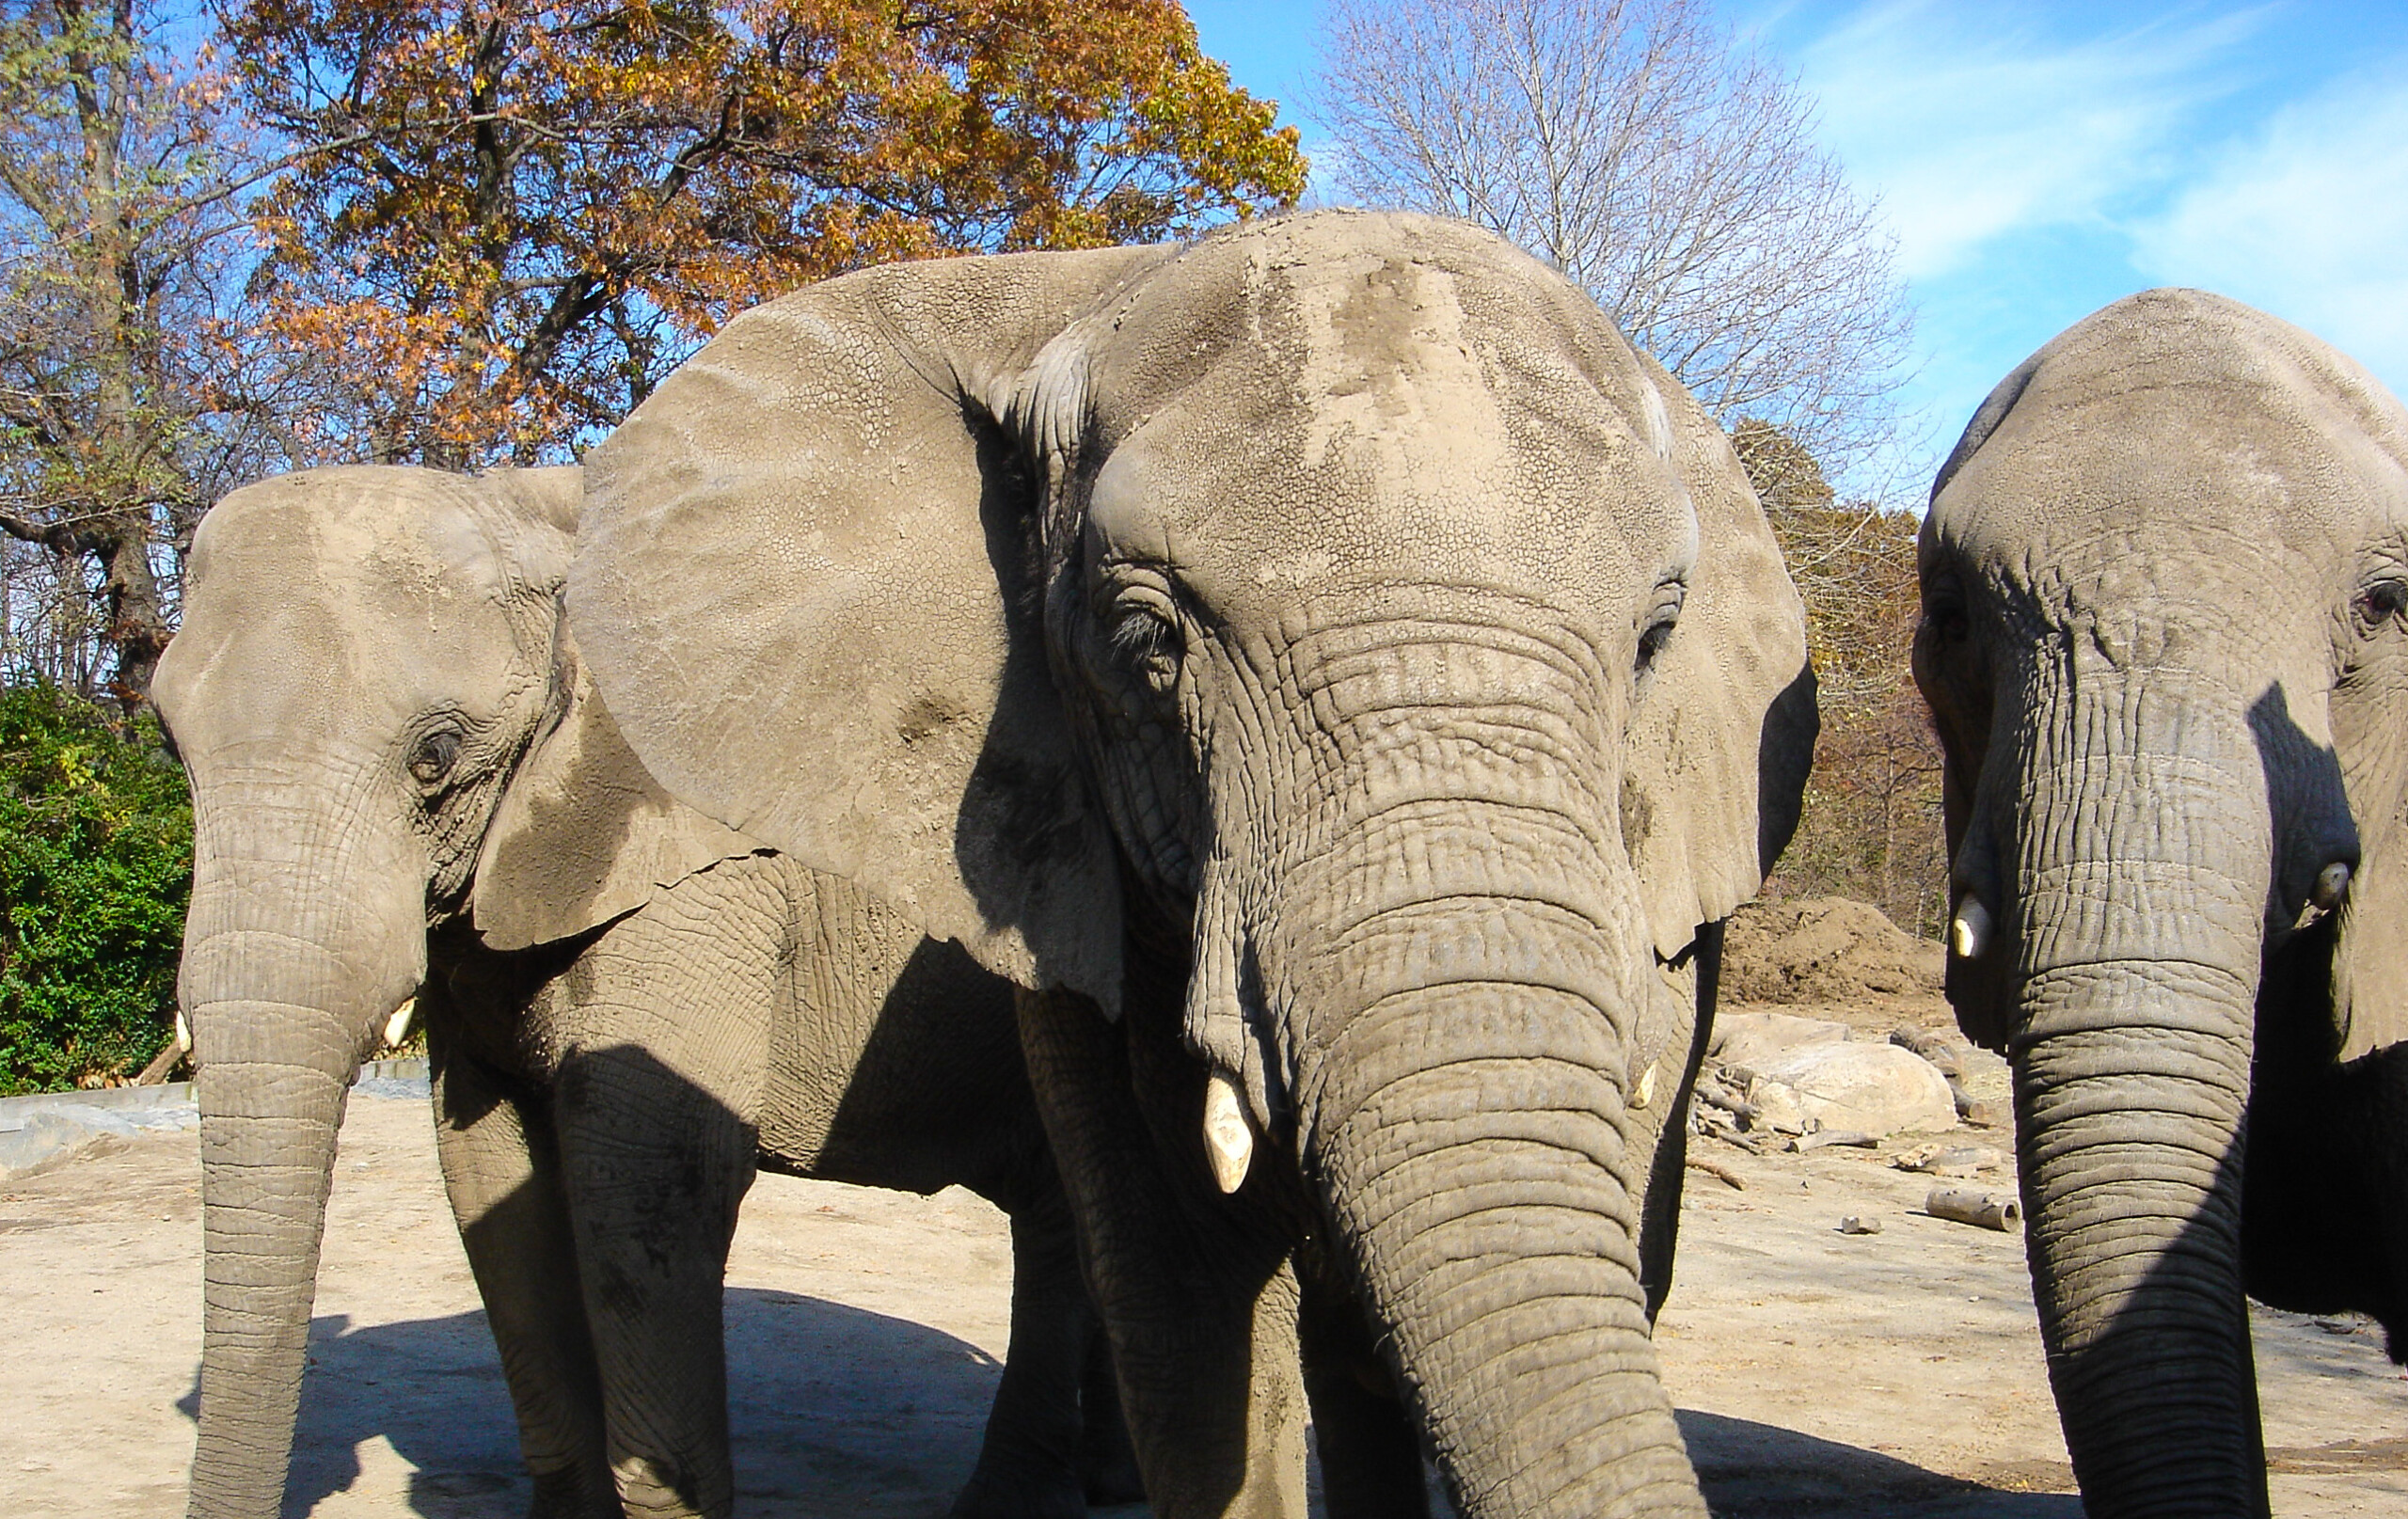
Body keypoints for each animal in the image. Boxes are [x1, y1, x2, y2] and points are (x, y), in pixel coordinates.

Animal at [151, 464, 1137, 1519]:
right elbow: (490, 1174)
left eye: (435, 754)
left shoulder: (704, 869)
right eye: (169, 746)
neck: (538, 517)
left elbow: (647, 1174)